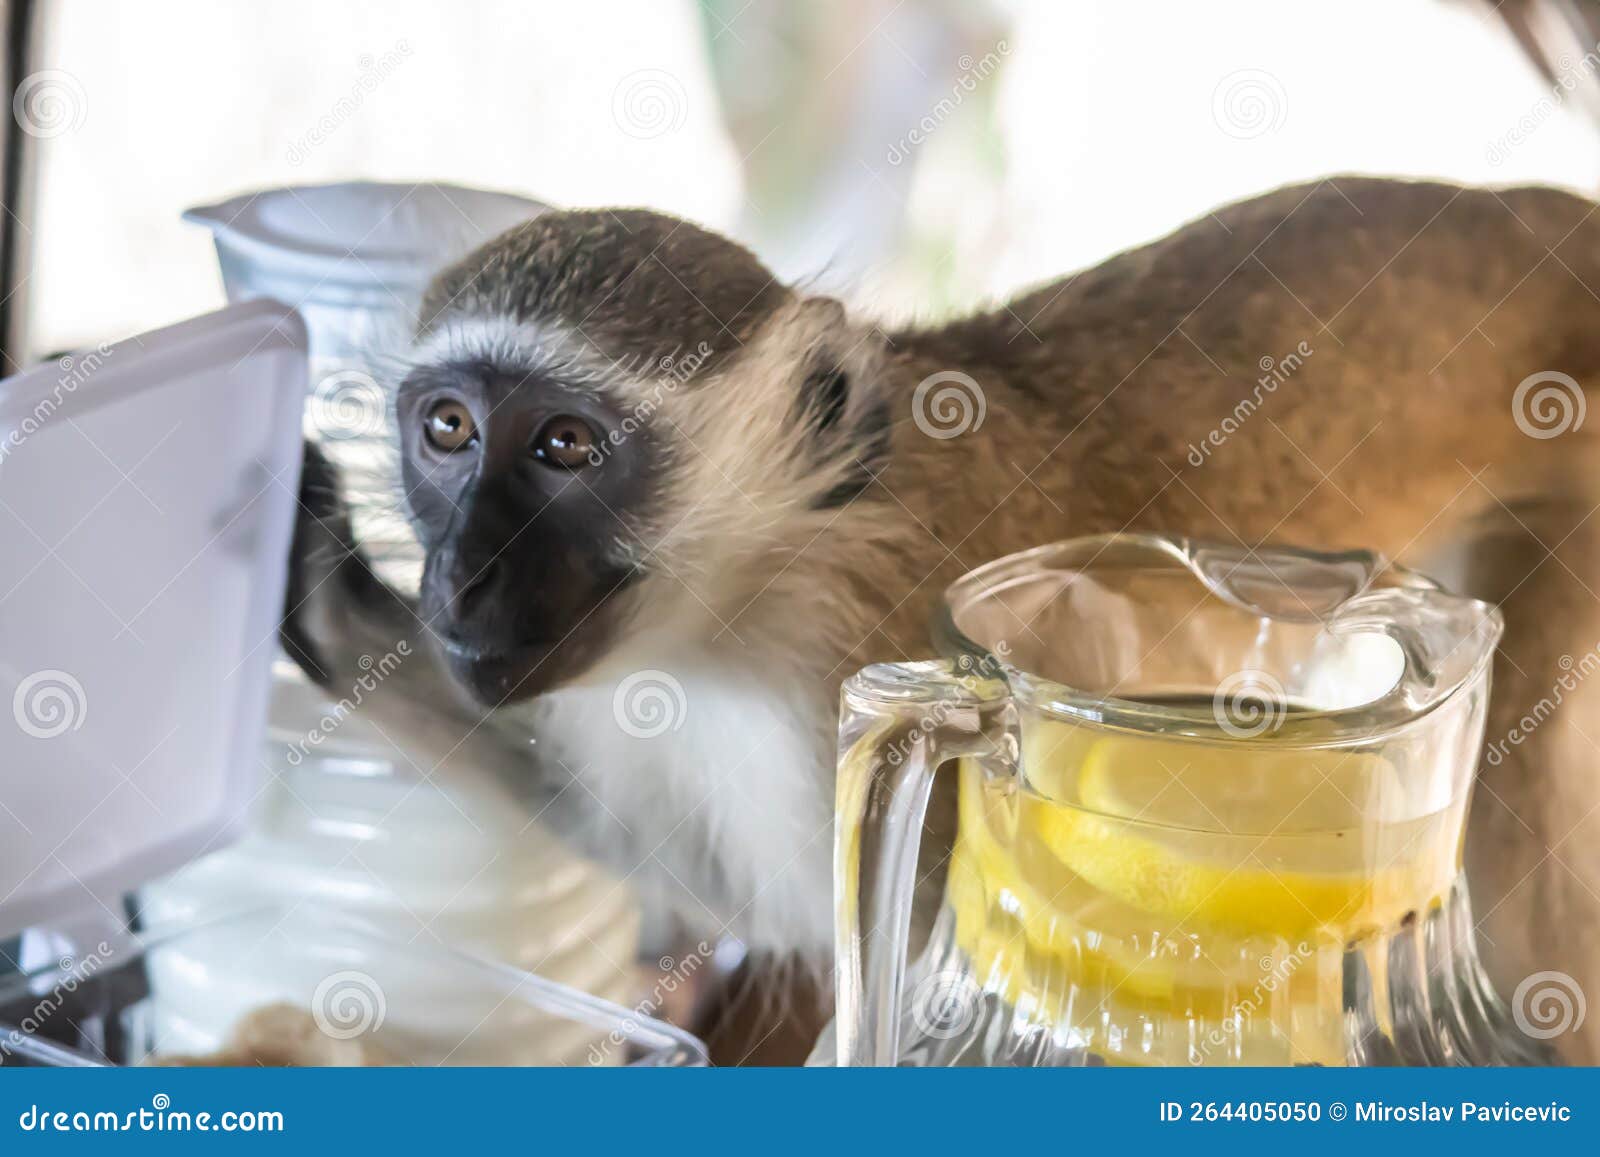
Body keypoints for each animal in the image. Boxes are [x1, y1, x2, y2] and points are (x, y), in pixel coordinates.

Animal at [285, 178, 1600, 1064]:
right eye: (447, 430)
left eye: (564, 445)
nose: (458, 580)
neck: (765, 581)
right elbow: (673, 860)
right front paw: (316, 584)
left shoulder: (861, 677)